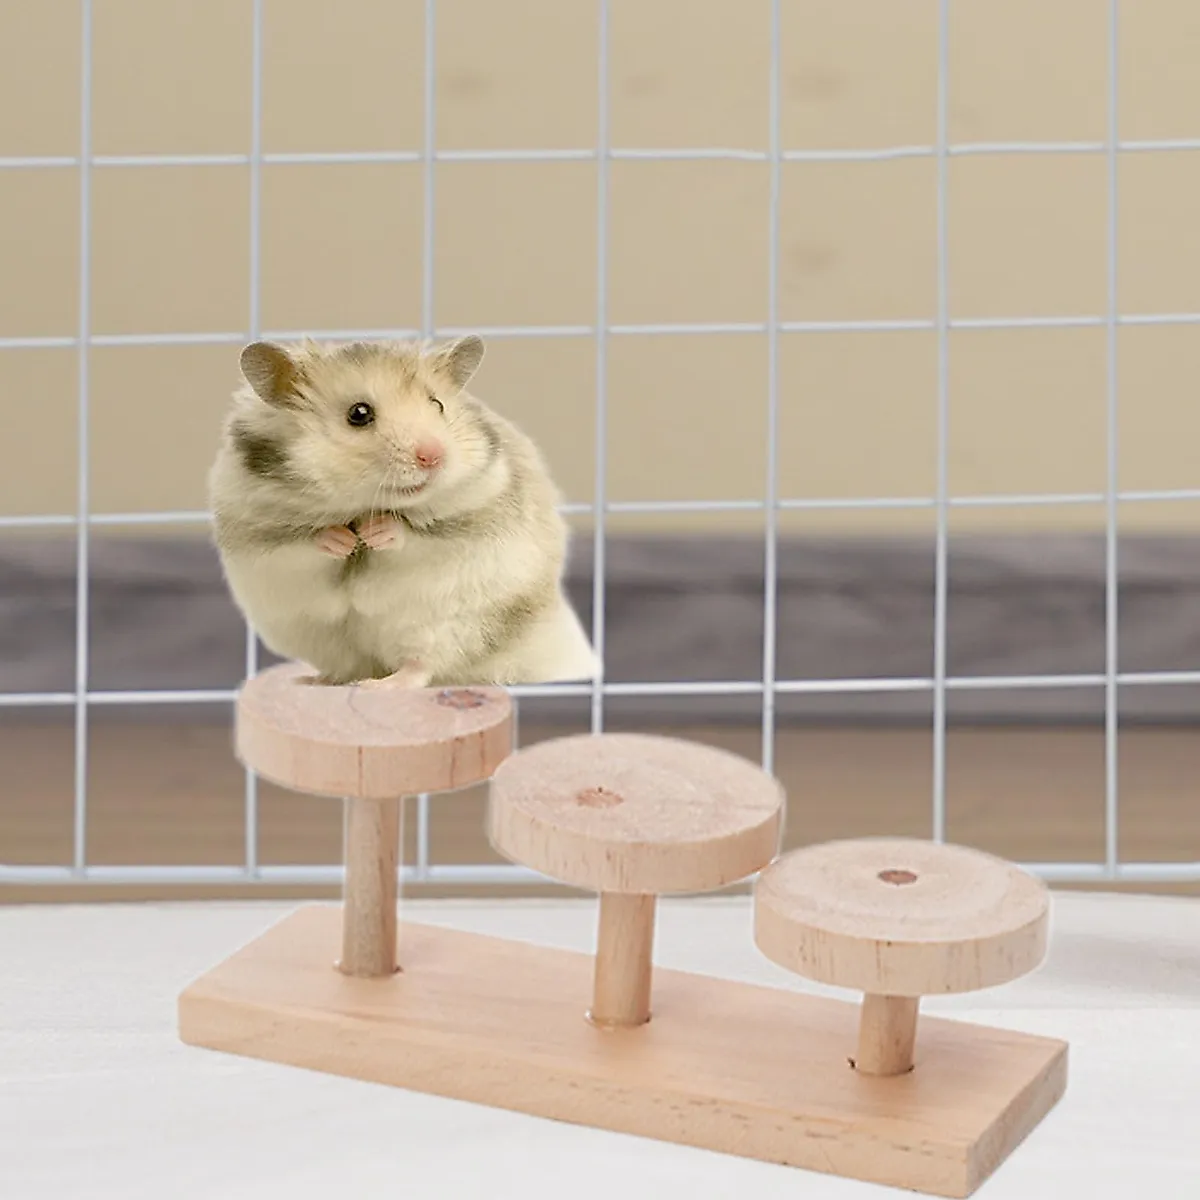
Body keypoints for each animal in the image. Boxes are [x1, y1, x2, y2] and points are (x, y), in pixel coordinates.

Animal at [207, 334, 600, 689]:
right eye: (359, 414)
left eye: (437, 404)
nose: (434, 456)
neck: (362, 505)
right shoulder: (259, 534)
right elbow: (303, 543)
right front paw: (342, 540)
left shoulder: (474, 515)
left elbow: (416, 536)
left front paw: (374, 533)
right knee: (350, 666)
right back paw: (318, 680)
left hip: (447, 627)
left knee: (420, 668)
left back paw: (379, 686)